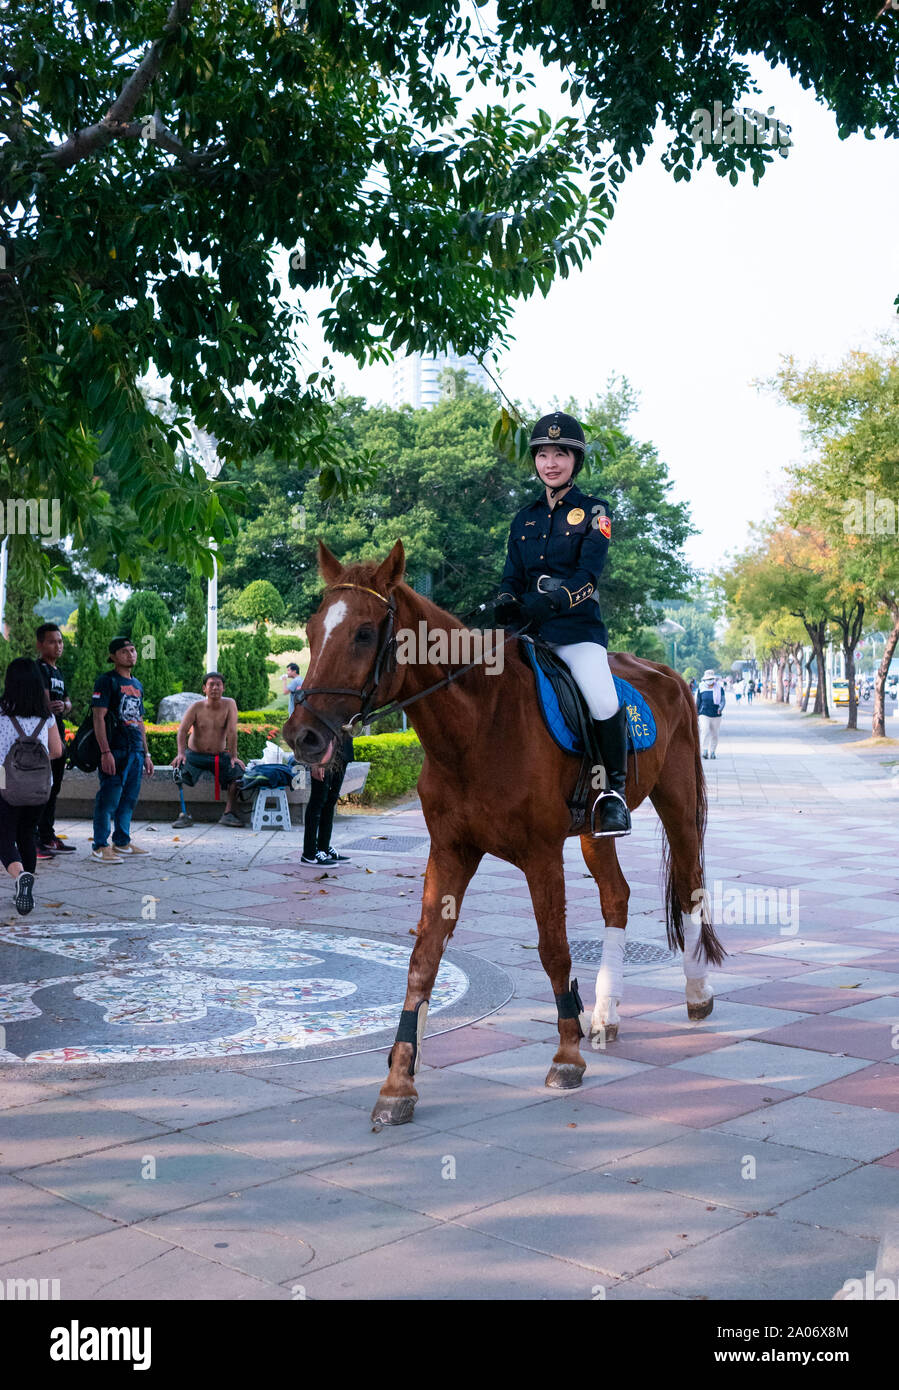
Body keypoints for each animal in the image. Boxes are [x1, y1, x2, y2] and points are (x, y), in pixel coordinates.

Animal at [284, 539, 725, 1127]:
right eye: (312, 629)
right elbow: (423, 958)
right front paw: (399, 1081)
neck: (477, 726)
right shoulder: (451, 851)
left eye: (362, 633)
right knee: (616, 896)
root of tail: (669, 674)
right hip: (594, 831)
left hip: (676, 802)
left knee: (691, 884)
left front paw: (567, 1055)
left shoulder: (541, 855)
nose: (302, 736)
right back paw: (606, 1014)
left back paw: (696, 993)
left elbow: (554, 951)